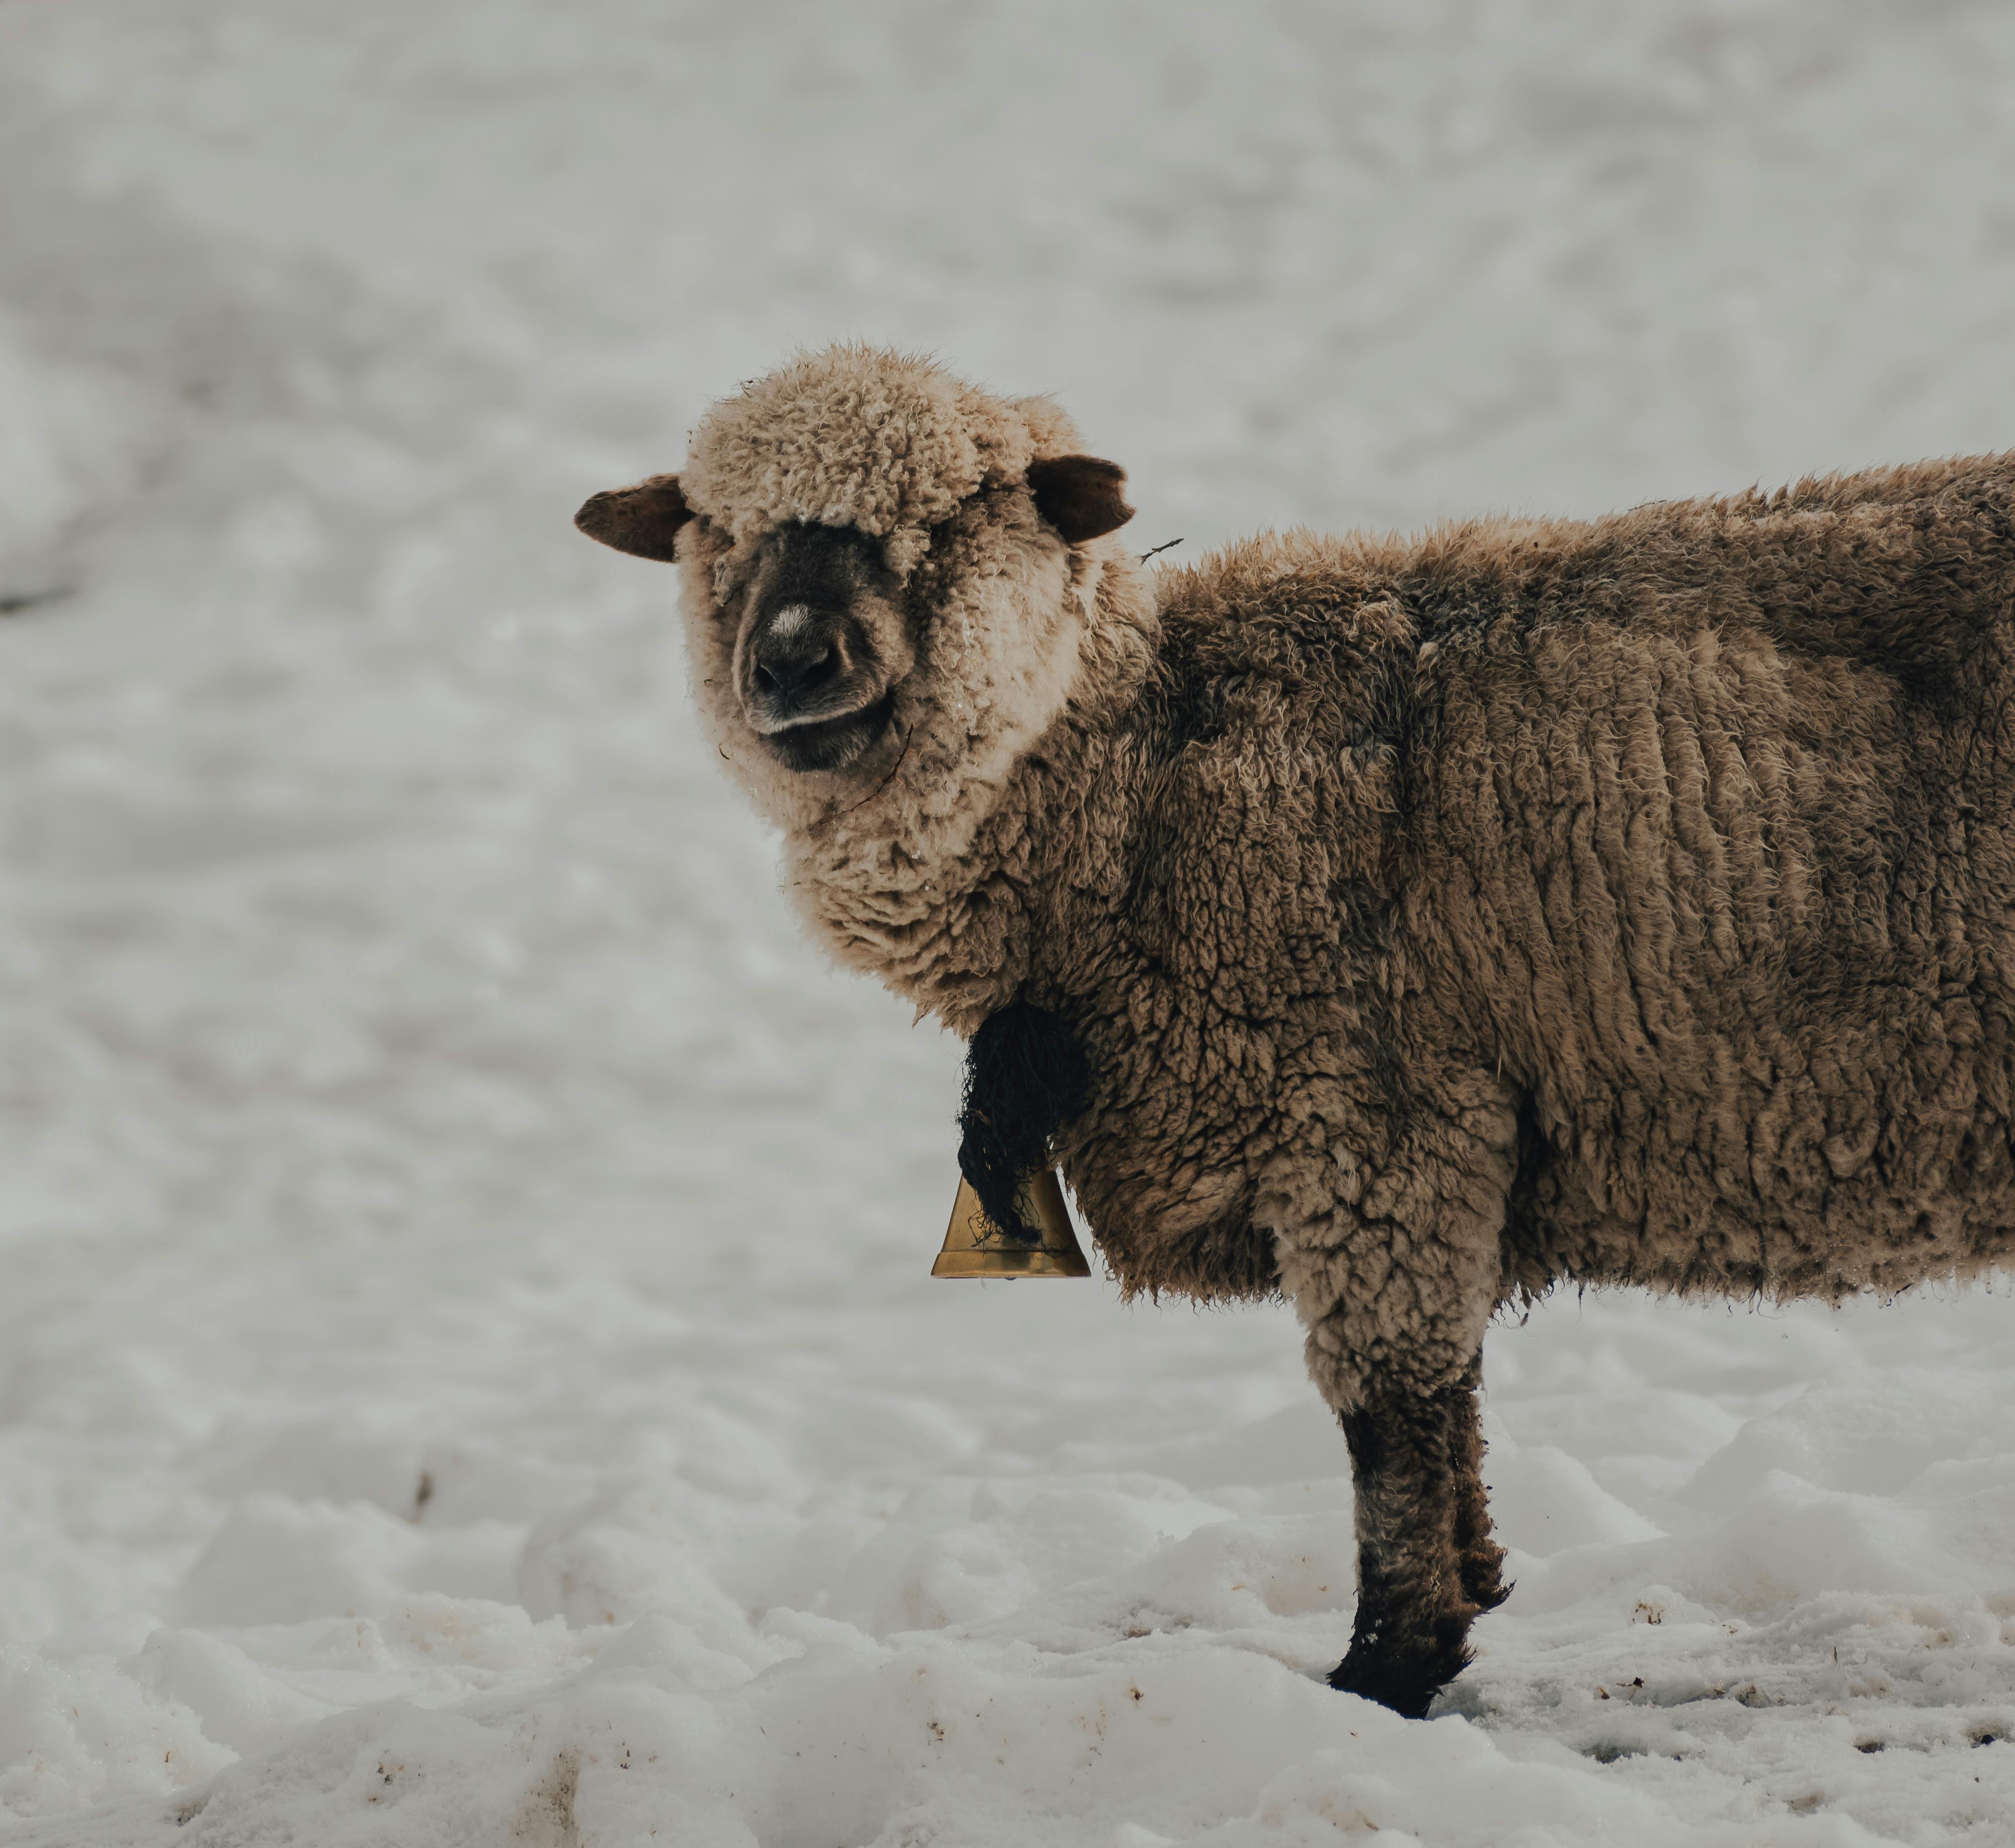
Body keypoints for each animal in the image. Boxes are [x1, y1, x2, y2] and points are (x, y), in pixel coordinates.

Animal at [576, 343, 2015, 1717]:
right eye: (715, 526)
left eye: (951, 513)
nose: (791, 663)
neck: (1139, 793)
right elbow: (1449, 1406)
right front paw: (1457, 1602)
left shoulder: (1373, 1129)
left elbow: (1393, 1416)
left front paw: (1387, 1666)